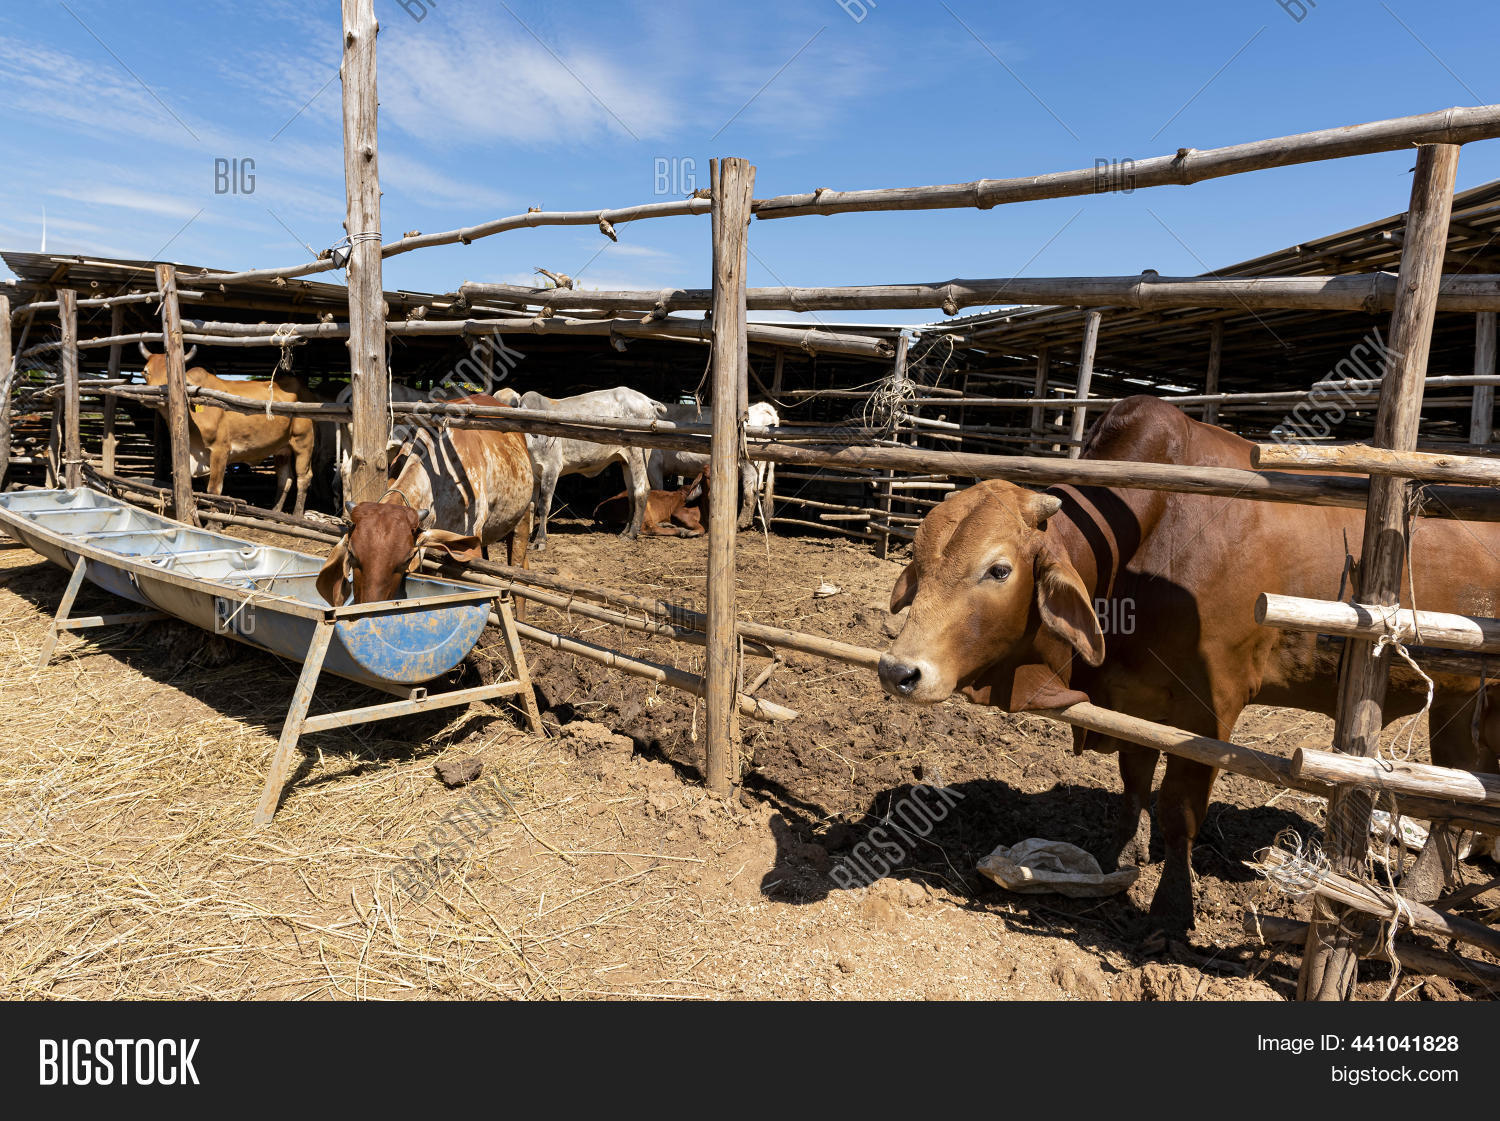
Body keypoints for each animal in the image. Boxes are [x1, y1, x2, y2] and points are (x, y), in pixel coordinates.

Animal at [139, 345, 319, 515]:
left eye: (169, 374)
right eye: (145, 372)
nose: (151, 397)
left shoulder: (220, 450)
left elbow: (214, 490)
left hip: (303, 442)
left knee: (304, 478)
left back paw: (296, 516)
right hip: (282, 449)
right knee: (285, 479)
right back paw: (274, 513)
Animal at [518, 387, 664, 550]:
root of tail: (646, 400)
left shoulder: (551, 469)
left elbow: (543, 506)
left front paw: (540, 540)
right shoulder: (535, 477)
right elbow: (531, 507)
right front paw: (527, 537)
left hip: (638, 455)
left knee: (641, 490)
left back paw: (631, 534)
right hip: (625, 461)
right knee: (631, 493)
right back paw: (625, 531)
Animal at [646, 401, 778, 530]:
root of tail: (762, 406)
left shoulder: (653, 466)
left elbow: (657, 489)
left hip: (747, 461)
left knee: (750, 491)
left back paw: (740, 523)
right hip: (760, 464)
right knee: (757, 489)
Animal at [877, 395, 1500, 931]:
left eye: (999, 570)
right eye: (919, 558)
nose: (898, 671)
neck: (1143, 541)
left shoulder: (1209, 710)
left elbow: (1179, 810)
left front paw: (1171, 911)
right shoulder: (1133, 696)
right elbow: (1133, 780)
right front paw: (1122, 852)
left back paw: (1415, 891)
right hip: (1463, 694)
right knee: (1465, 777)